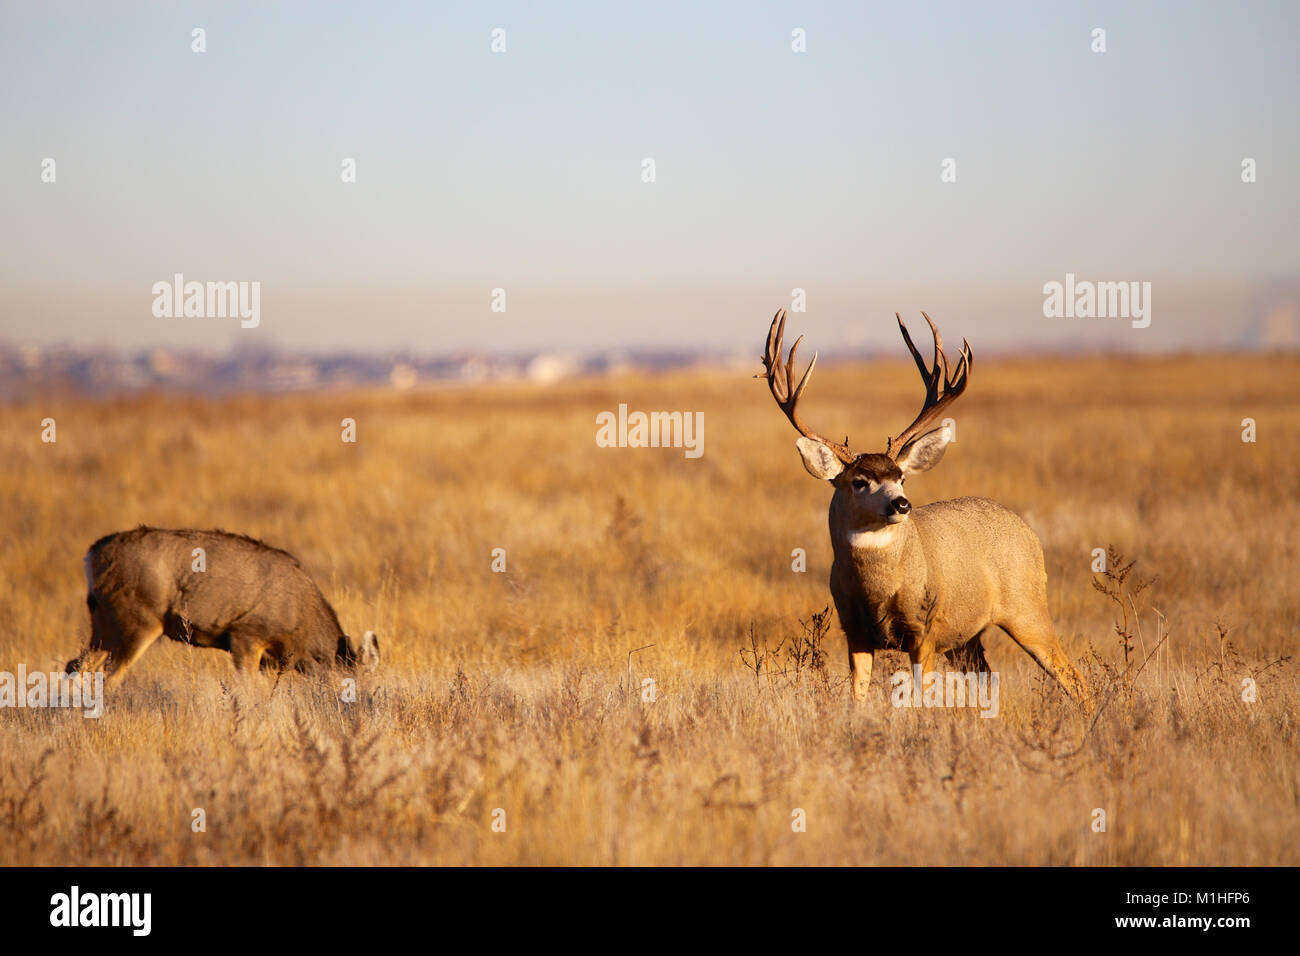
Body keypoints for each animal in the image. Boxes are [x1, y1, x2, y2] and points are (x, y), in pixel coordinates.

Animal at [66, 527, 380, 685]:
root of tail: (91, 556)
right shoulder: (247, 634)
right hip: (137, 619)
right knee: (109, 675)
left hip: (104, 622)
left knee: (76, 664)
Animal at [760, 309, 1092, 714]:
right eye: (859, 481)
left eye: (901, 477)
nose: (901, 504)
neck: (878, 589)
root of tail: (1027, 530)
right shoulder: (854, 632)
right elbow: (857, 697)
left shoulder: (925, 631)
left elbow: (923, 699)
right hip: (968, 637)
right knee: (987, 678)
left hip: (1027, 607)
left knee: (1075, 678)